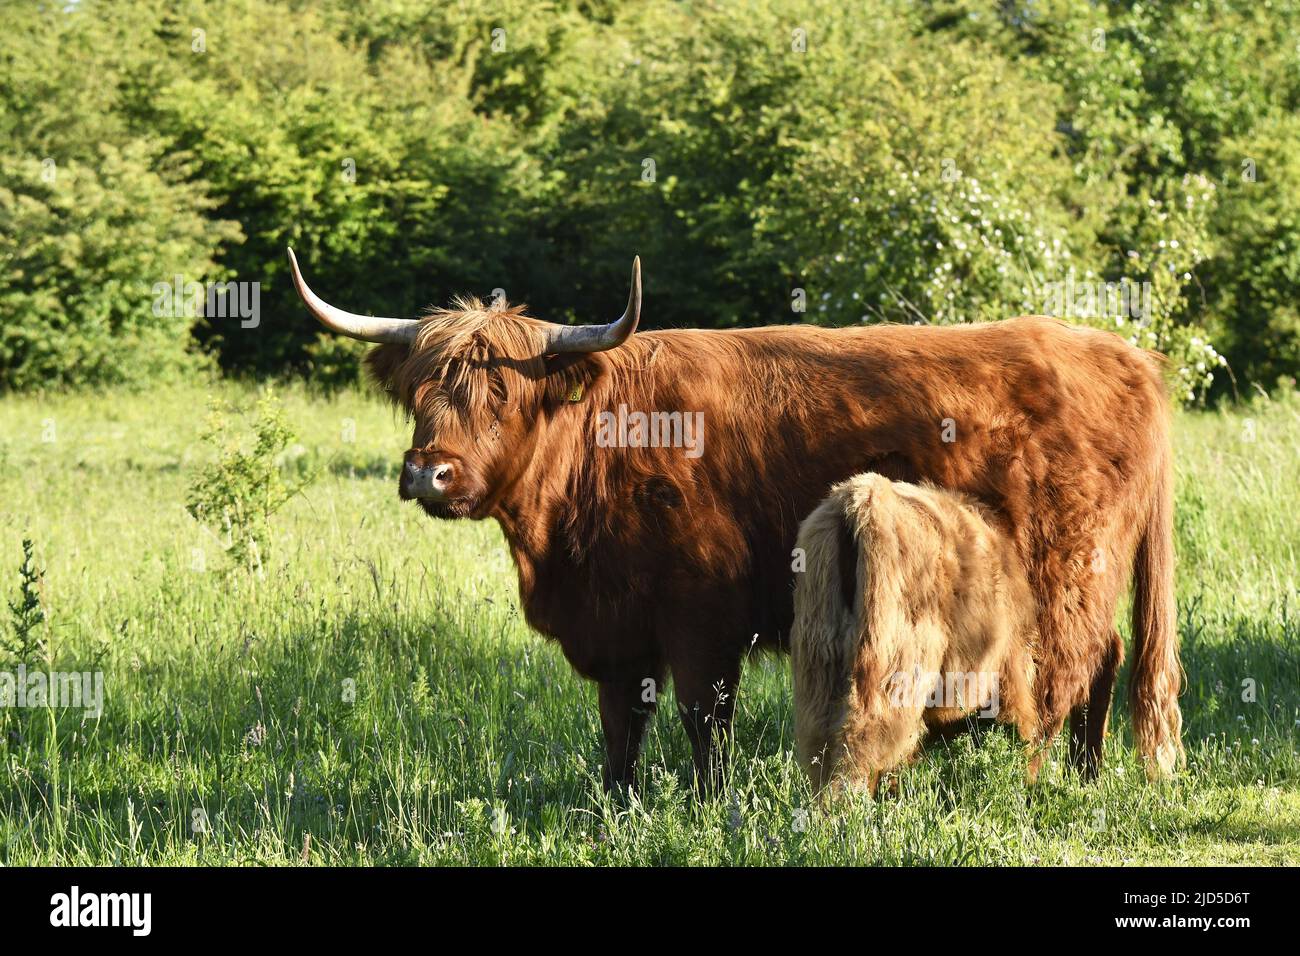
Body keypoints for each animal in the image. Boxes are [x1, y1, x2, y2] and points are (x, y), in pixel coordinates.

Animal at [791, 474, 1040, 796]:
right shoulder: (1009, 662)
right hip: (895, 664)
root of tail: (862, 497)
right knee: (861, 741)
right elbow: (1018, 720)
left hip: (818, 656)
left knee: (820, 743)